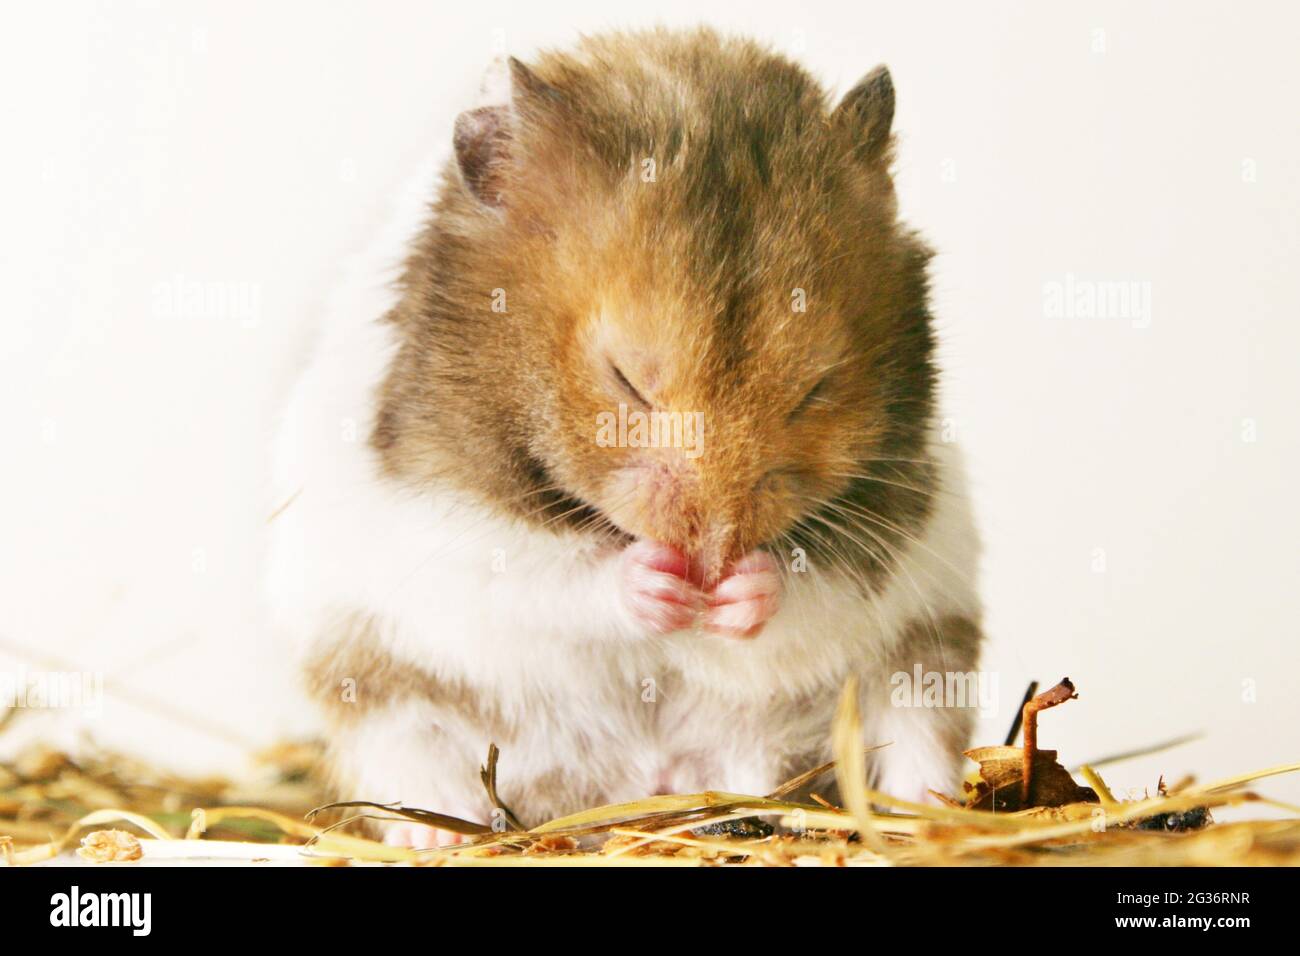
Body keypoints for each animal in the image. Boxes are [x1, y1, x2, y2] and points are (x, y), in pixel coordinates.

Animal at [266, 28, 982, 848]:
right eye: (625, 378)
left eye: (816, 388)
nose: (710, 556)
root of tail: (649, 779)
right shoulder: (441, 509)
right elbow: (547, 575)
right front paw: (656, 584)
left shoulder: (897, 512)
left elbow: (815, 584)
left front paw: (738, 590)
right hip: (375, 691)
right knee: (413, 761)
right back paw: (433, 835)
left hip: (929, 661)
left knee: (918, 735)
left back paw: (926, 811)